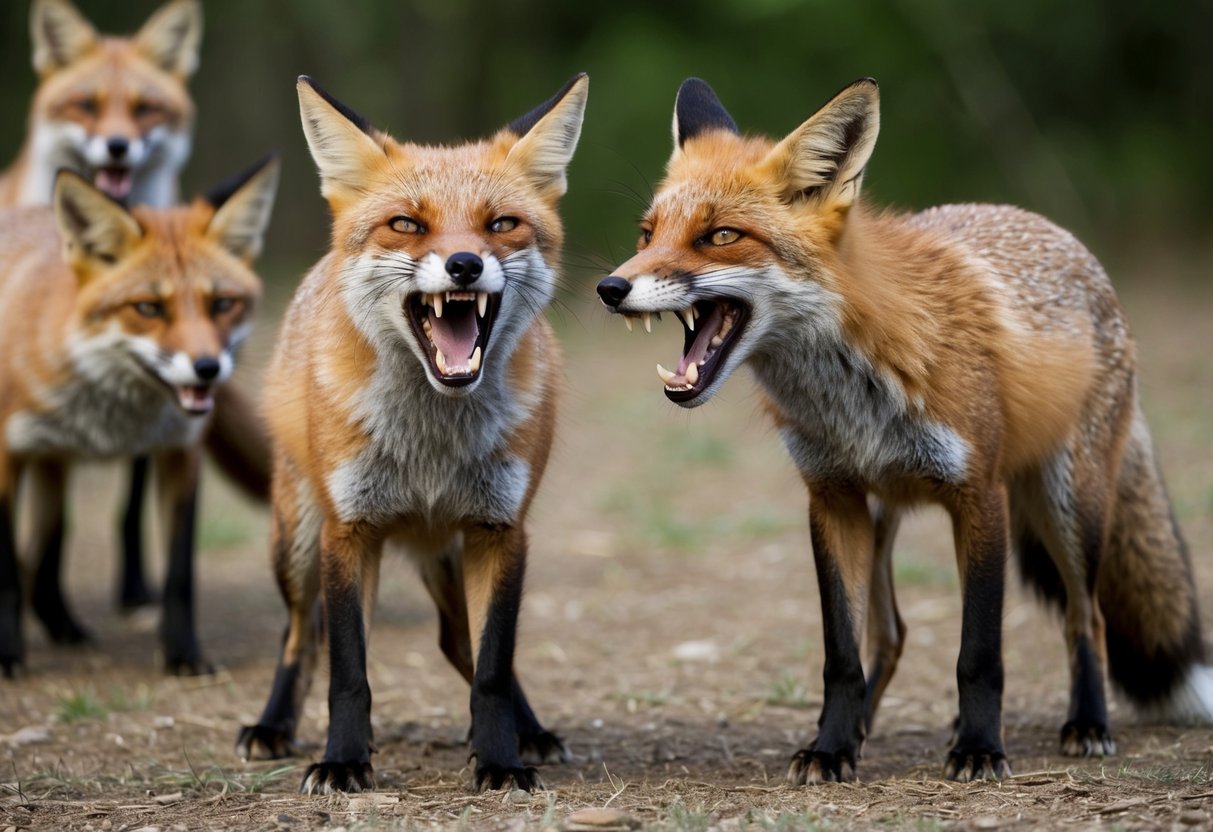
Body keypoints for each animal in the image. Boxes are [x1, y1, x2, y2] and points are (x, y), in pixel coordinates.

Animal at [0, 0, 275, 622]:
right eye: (85, 104)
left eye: (146, 109)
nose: (117, 146)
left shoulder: (166, 435)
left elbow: (134, 519)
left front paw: (137, 595)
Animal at [0, 156, 279, 677]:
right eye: (148, 308)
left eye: (222, 304)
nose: (208, 368)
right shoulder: (5, 456)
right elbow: (4, 570)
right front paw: (7, 657)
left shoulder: (180, 455)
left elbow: (179, 575)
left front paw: (184, 655)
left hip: (53, 470)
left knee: (47, 547)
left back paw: (63, 626)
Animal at [234, 74, 587, 795]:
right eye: (406, 224)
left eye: (501, 224)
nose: (463, 264)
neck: (432, 443)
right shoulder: (350, 530)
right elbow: (348, 671)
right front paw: (343, 761)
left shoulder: (501, 530)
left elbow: (491, 668)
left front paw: (501, 760)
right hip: (297, 540)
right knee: (300, 635)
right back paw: (274, 726)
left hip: (449, 551)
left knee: (462, 645)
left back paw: (527, 731)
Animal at [596, 77, 1212, 783]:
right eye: (647, 233)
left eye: (721, 235)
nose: (610, 287)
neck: (851, 392)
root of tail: (1062, 234)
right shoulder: (832, 498)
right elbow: (842, 654)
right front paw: (833, 746)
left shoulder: (980, 495)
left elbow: (979, 653)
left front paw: (980, 747)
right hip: (886, 512)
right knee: (890, 635)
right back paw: (863, 729)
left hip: (1070, 509)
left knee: (1089, 619)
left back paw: (1086, 723)